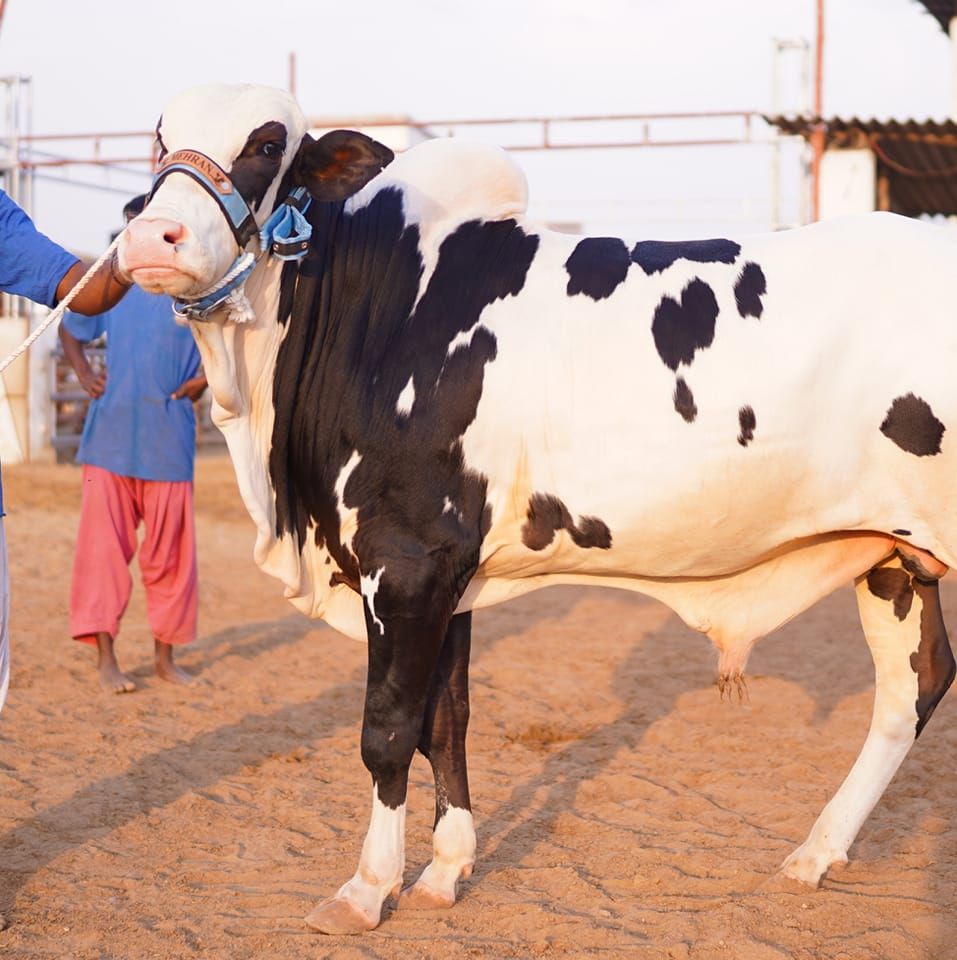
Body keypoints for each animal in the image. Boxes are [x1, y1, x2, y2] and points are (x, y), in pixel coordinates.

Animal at [118, 83, 956, 935]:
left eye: (265, 145)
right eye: (159, 141)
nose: (153, 235)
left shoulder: (406, 561)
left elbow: (388, 730)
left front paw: (366, 888)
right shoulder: (452, 571)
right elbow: (444, 722)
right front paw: (444, 869)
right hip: (891, 552)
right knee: (911, 689)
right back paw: (813, 854)